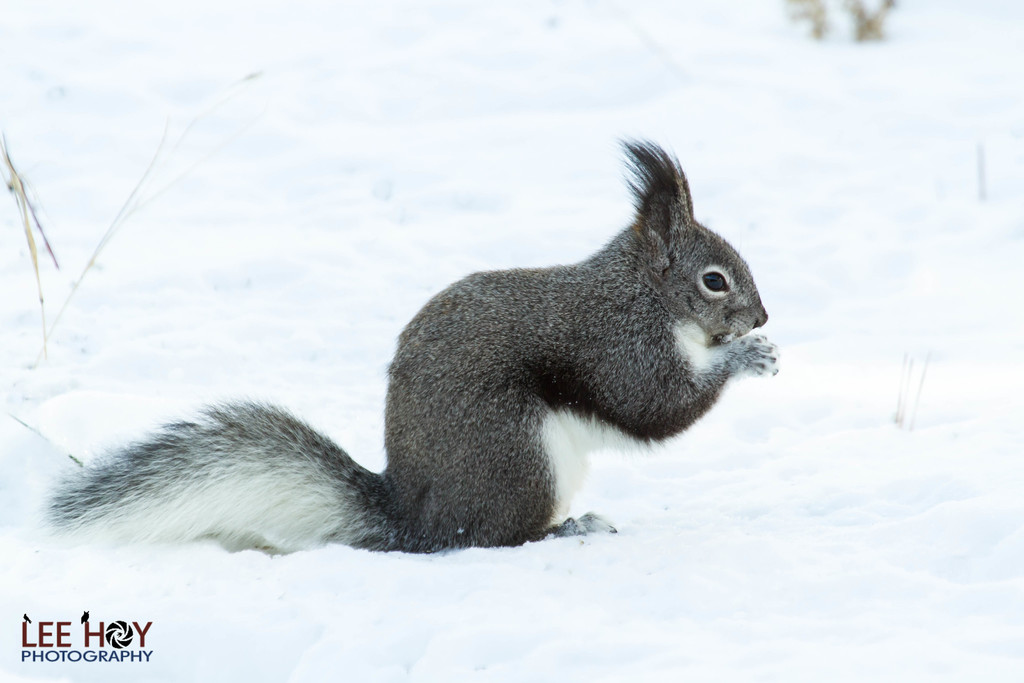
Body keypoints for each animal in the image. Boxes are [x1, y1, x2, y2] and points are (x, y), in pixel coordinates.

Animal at [46, 141, 778, 554]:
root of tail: (415, 519)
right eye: (714, 281)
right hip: (517, 454)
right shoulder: (620, 345)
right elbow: (655, 407)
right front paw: (747, 359)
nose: (762, 315)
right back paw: (568, 529)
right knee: (493, 537)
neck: (643, 296)